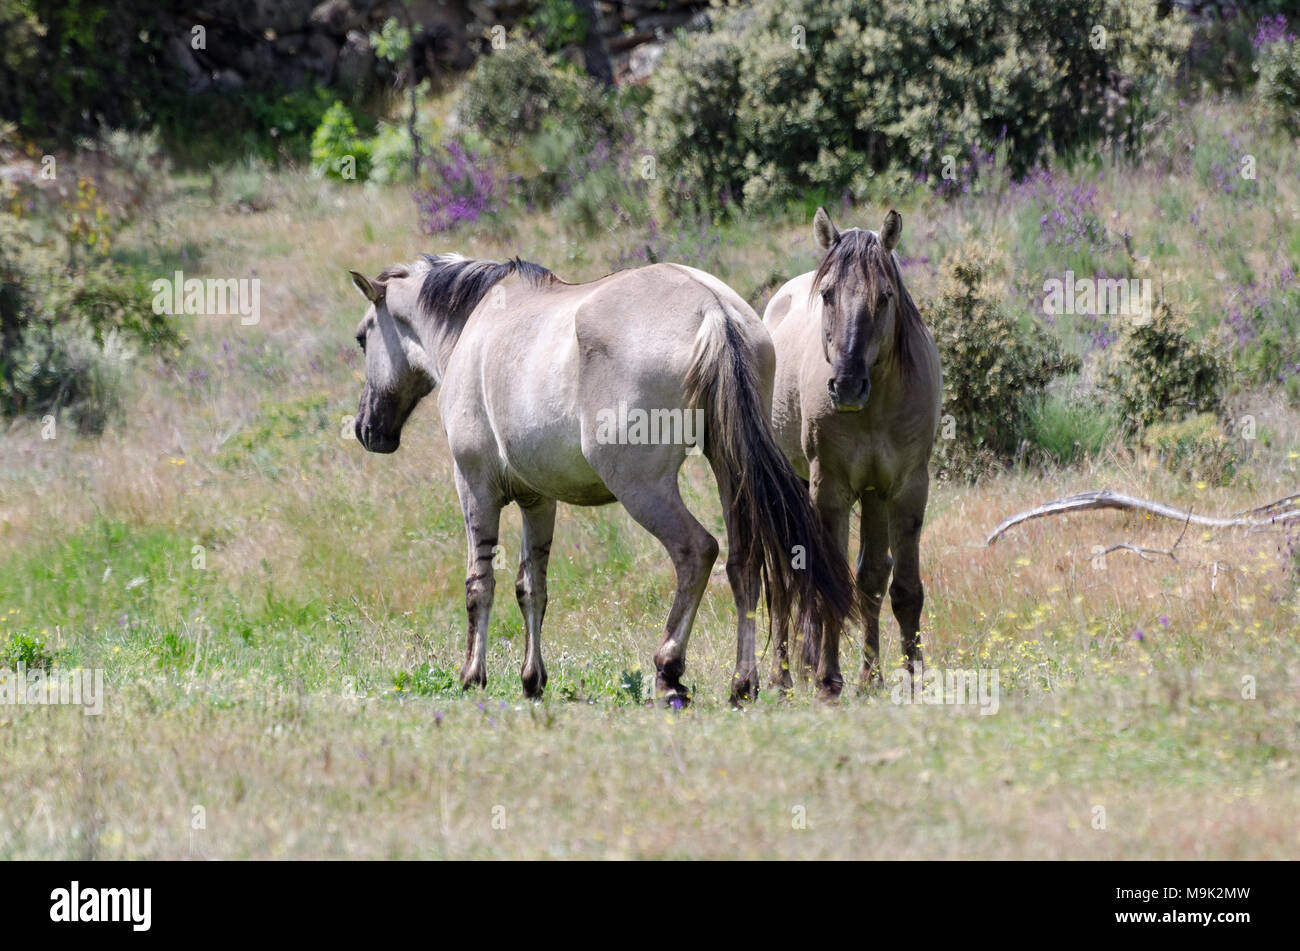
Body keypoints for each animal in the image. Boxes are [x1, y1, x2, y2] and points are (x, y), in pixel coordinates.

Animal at [348, 253, 855, 705]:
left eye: (361, 337)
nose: (367, 429)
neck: (477, 325)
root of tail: (713, 310)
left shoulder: (474, 487)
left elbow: (480, 584)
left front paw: (473, 676)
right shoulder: (538, 501)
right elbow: (531, 588)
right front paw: (532, 680)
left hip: (642, 488)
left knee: (697, 551)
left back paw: (669, 671)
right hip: (730, 471)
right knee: (742, 563)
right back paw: (741, 684)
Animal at [759, 209, 942, 698]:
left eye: (885, 297)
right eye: (827, 295)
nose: (846, 385)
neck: (874, 408)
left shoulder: (905, 489)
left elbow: (896, 587)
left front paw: (900, 677)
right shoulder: (831, 491)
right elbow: (829, 586)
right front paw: (828, 680)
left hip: (873, 497)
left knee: (868, 578)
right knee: (785, 579)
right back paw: (785, 677)